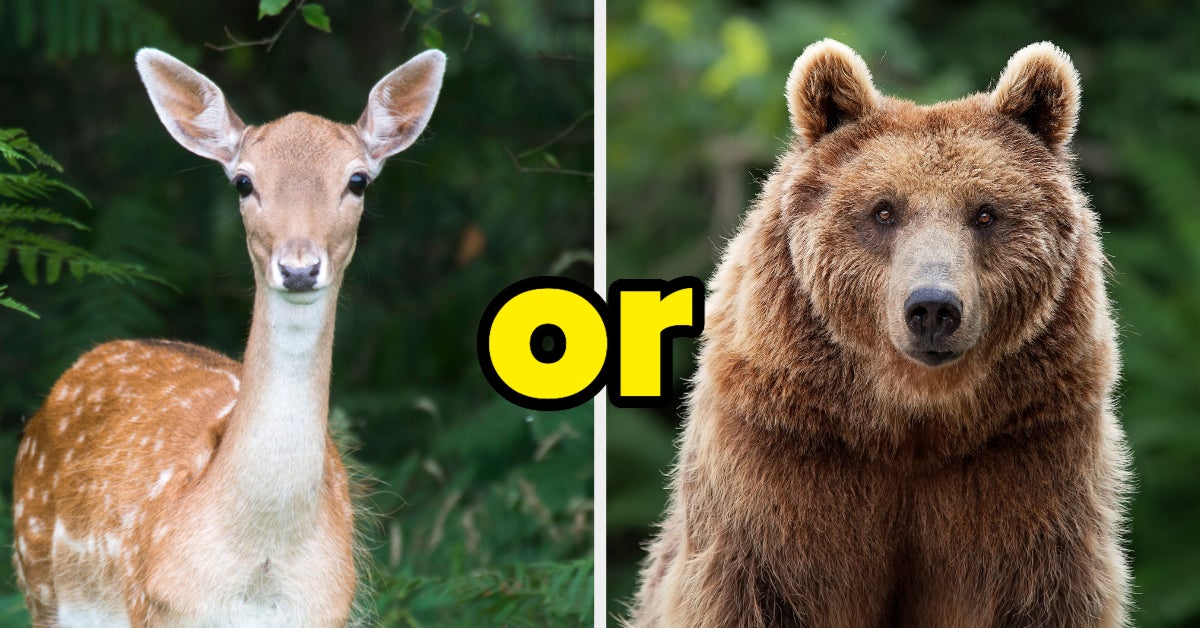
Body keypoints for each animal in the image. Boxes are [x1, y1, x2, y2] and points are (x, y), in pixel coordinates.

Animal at [11, 47, 445, 627]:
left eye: (358, 180)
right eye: (243, 182)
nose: (299, 268)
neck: (260, 567)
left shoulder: (331, 609)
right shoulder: (158, 606)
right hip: (37, 575)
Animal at [629, 40, 1130, 627]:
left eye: (985, 213)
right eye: (884, 210)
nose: (933, 307)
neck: (908, 420)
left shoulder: (1031, 459)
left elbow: (1044, 592)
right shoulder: (777, 461)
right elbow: (753, 585)